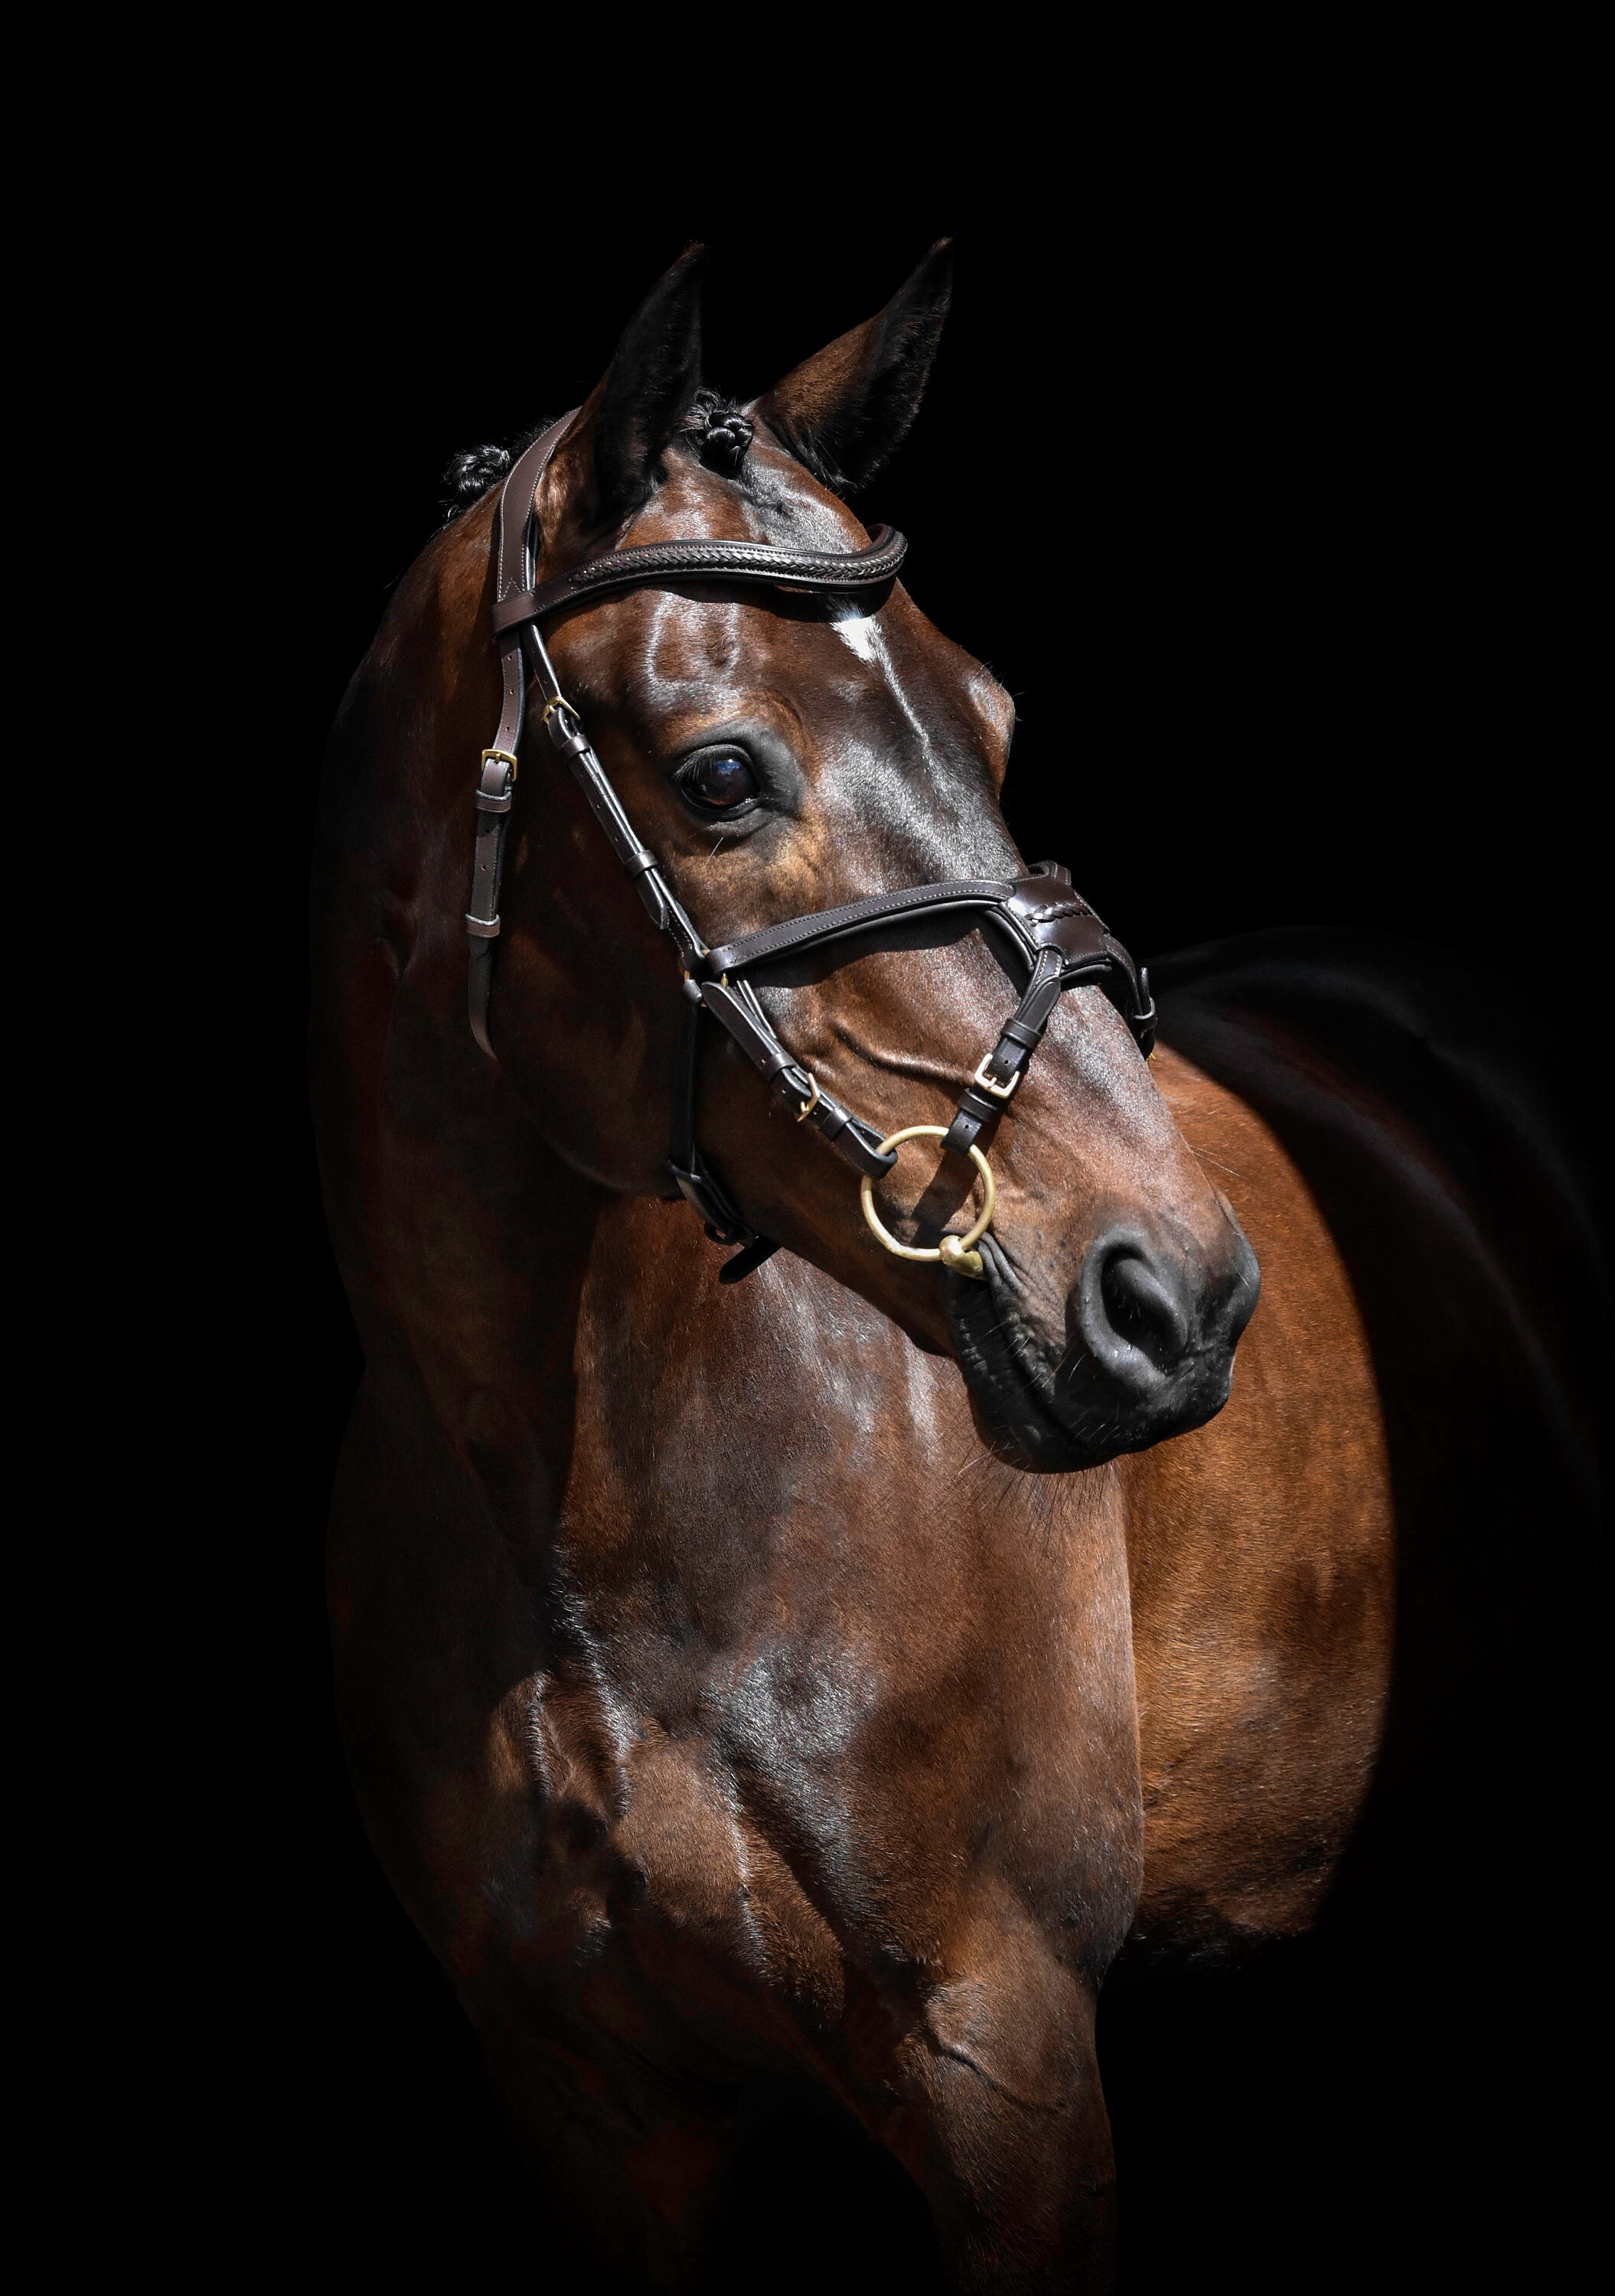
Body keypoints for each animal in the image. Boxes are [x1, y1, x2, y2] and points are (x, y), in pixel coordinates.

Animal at [310, 244, 1603, 2292]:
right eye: (722, 773)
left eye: (989, 720)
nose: (1174, 1296)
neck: (580, 1514)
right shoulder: (587, 2111)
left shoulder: (1004, 2074)